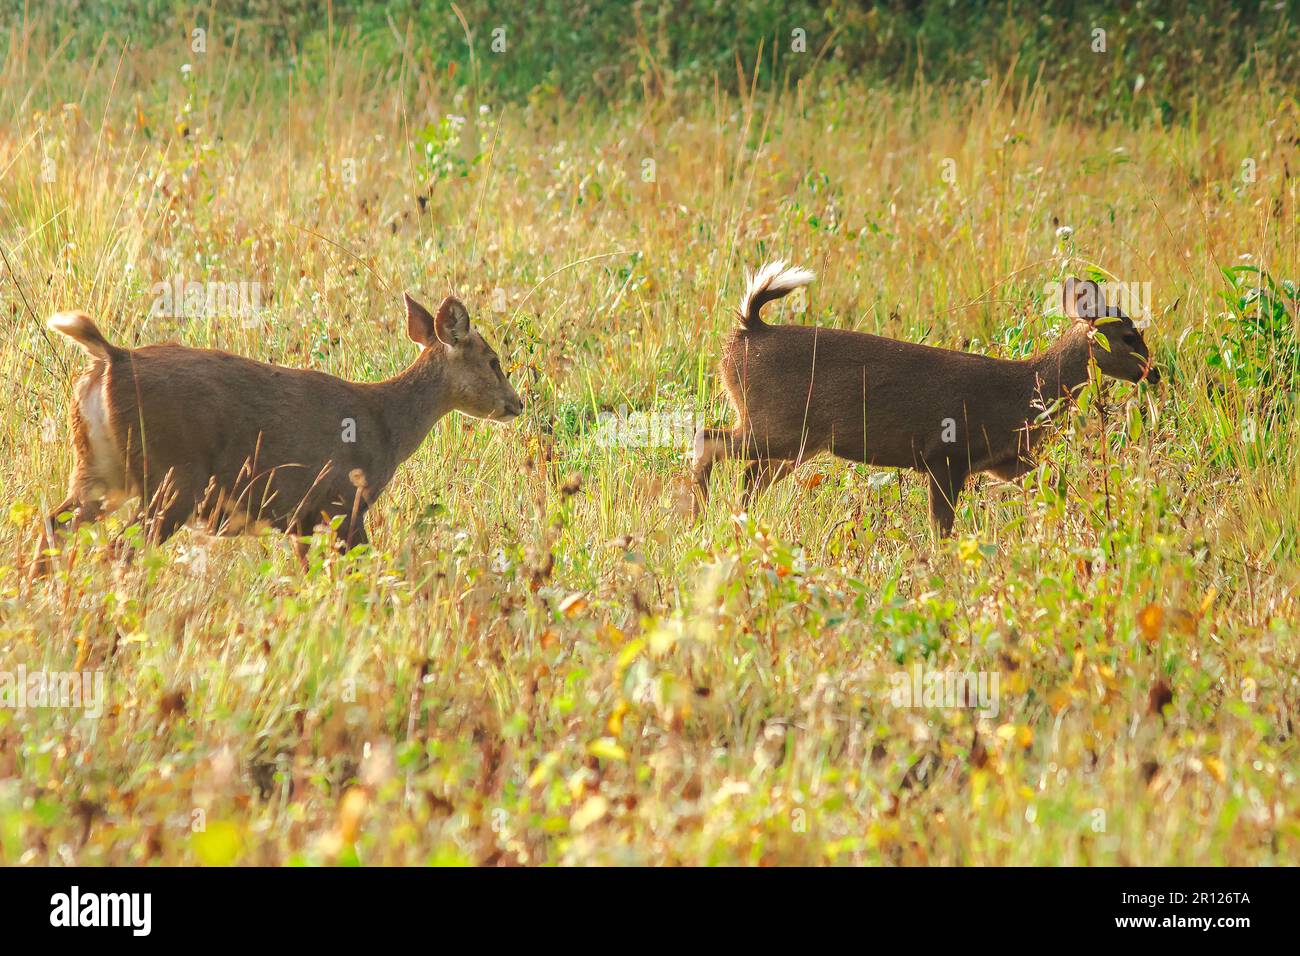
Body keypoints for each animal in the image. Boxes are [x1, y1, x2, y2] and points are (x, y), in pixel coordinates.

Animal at [39, 292, 522, 566]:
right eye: (493, 360)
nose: (516, 403)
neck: (388, 425)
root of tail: (111, 358)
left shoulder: (301, 520)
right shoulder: (343, 502)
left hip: (98, 470)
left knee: (53, 524)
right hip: (172, 478)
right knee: (118, 548)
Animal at [691, 262, 1159, 536]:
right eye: (1128, 335)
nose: (1152, 371)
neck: (1025, 390)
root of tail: (747, 330)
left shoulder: (1006, 461)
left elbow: (1052, 485)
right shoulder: (945, 455)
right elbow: (942, 527)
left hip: (796, 441)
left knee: (749, 475)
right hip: (779, 425)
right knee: (707, 439)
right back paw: (699, 516)